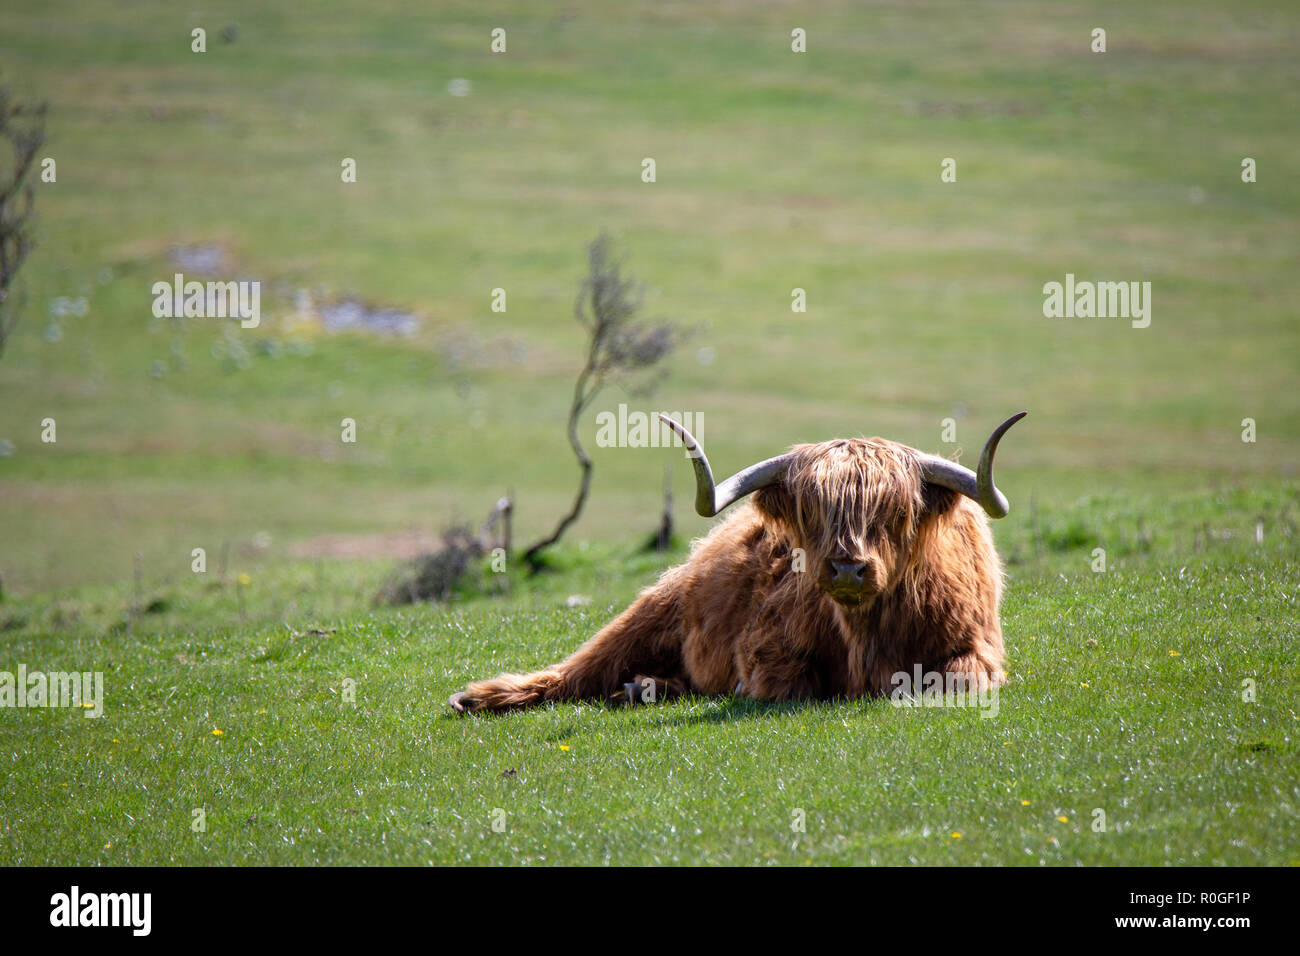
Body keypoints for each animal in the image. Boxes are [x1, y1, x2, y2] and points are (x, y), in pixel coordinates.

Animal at [449, 411, 1027, 713]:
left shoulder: (979, 645)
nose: (846, 568)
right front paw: (748, 687)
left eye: (894, 510)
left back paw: (645, 688)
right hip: (649, 612)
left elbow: (958, 679)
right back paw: (478, 698)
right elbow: (789, 683)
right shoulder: (765, 642)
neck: (867, 636)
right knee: (576, 672)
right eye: (811, 510)